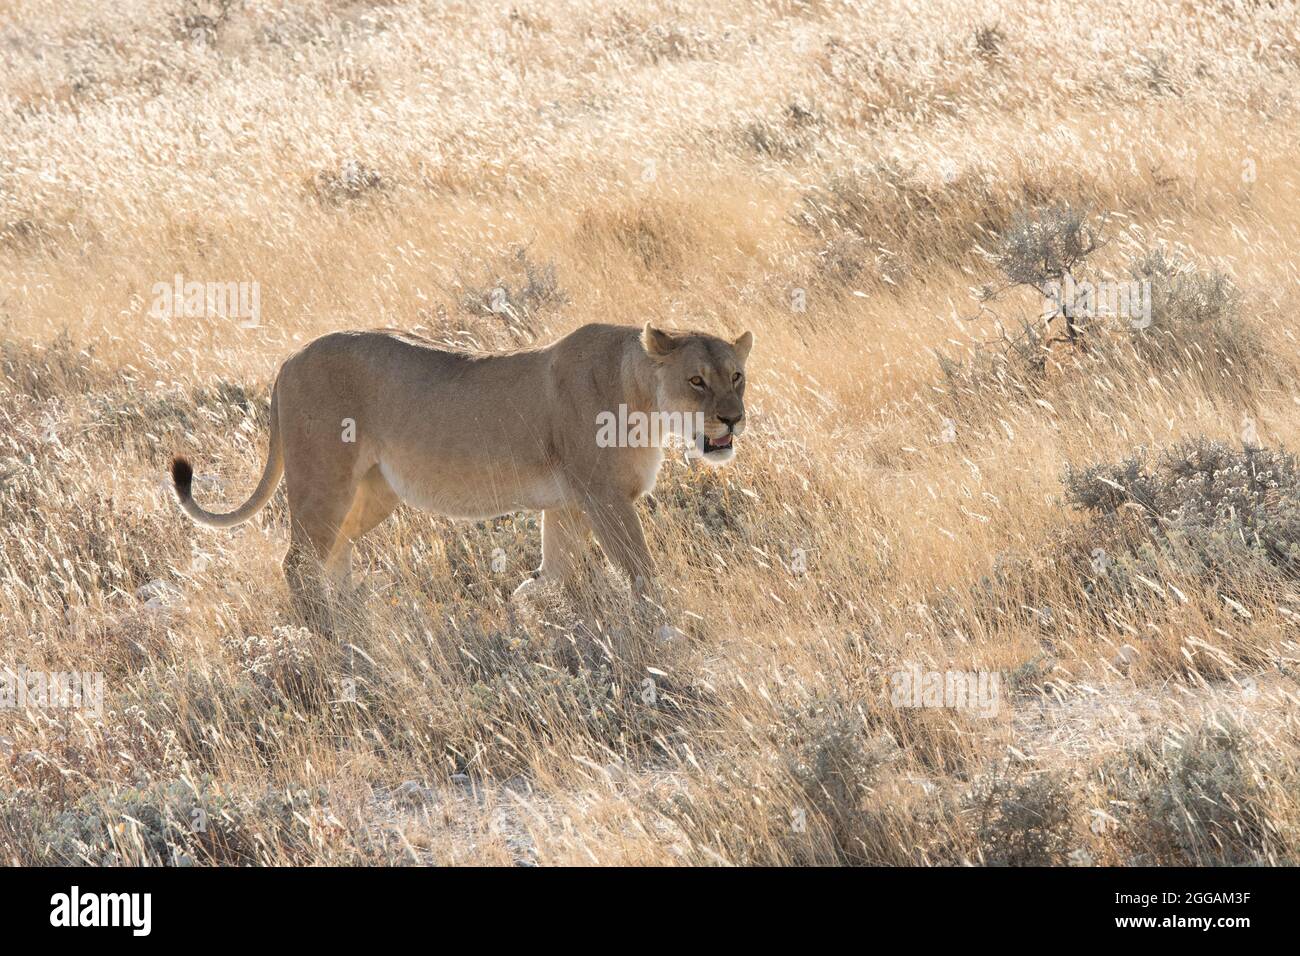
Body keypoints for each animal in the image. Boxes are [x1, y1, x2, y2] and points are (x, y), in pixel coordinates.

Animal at [170, 322, 753, 626]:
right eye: (697, 380)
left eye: (737, 376)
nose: (733, 418)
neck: (644, 399)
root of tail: (288, 361)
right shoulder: (604, 498)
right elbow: (641, 570)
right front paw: (665, 629)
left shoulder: (568, 503)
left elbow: (556, 569)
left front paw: (524, 602)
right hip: (322, 482)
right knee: (297, 564)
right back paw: (328, 635)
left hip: (370, 495)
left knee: (332, 556)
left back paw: (354, 620)